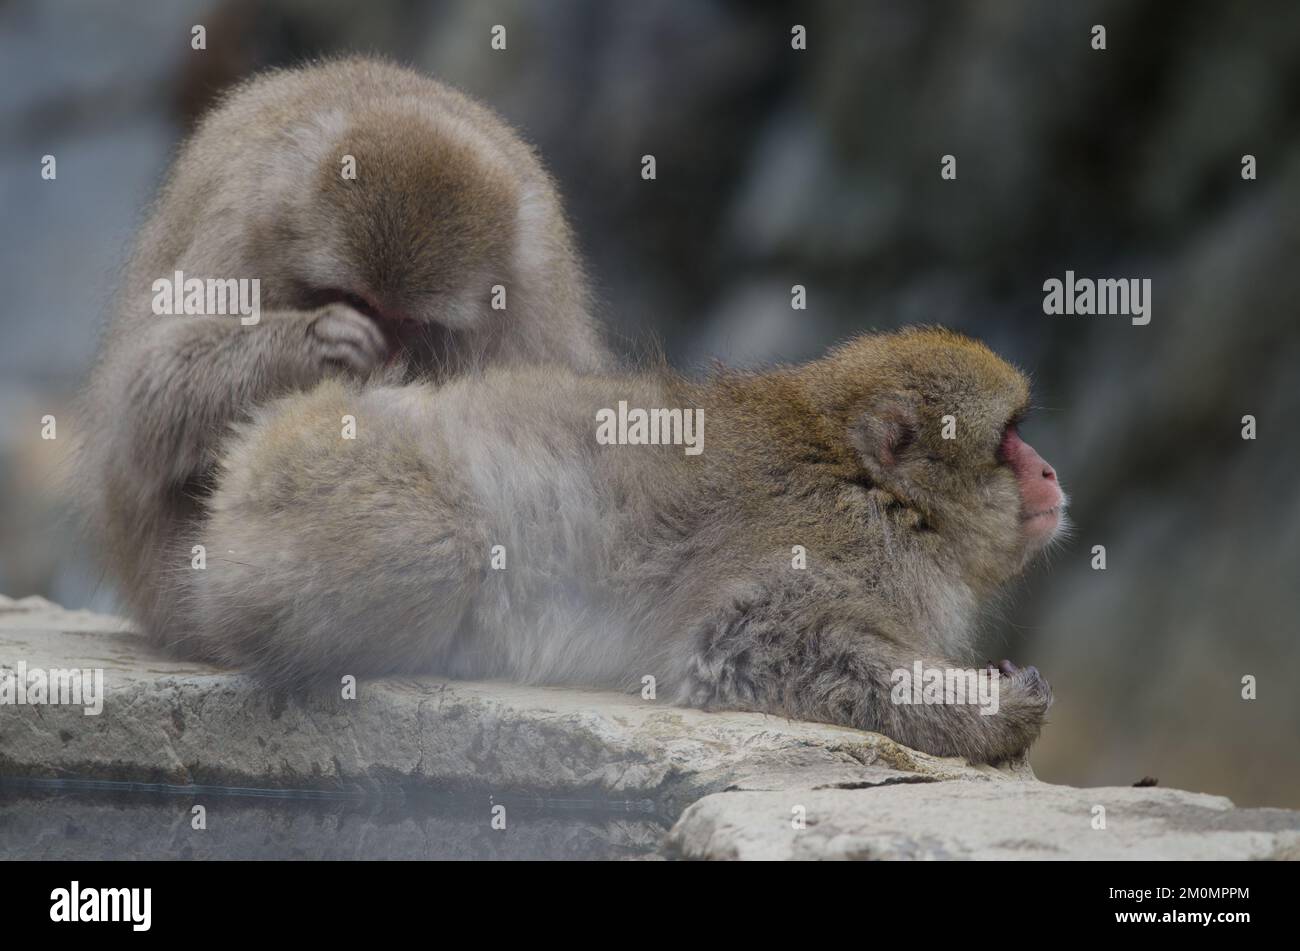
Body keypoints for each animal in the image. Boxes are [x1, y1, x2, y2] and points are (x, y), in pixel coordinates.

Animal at [75, 57, 608, 649]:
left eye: (409, 322)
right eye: (358, 301)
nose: (389, 350)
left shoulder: (530, 297)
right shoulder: (244, 224)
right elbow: (148, 397)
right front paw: (316, 345)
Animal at [178, 327, 1067, 764]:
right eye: (1008, 440)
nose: (1051, 470)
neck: (880, 491)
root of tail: (257, 446)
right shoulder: (839, 548)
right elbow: (748, 641)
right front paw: (994, 712)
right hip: (312, 494)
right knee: (441, 549)